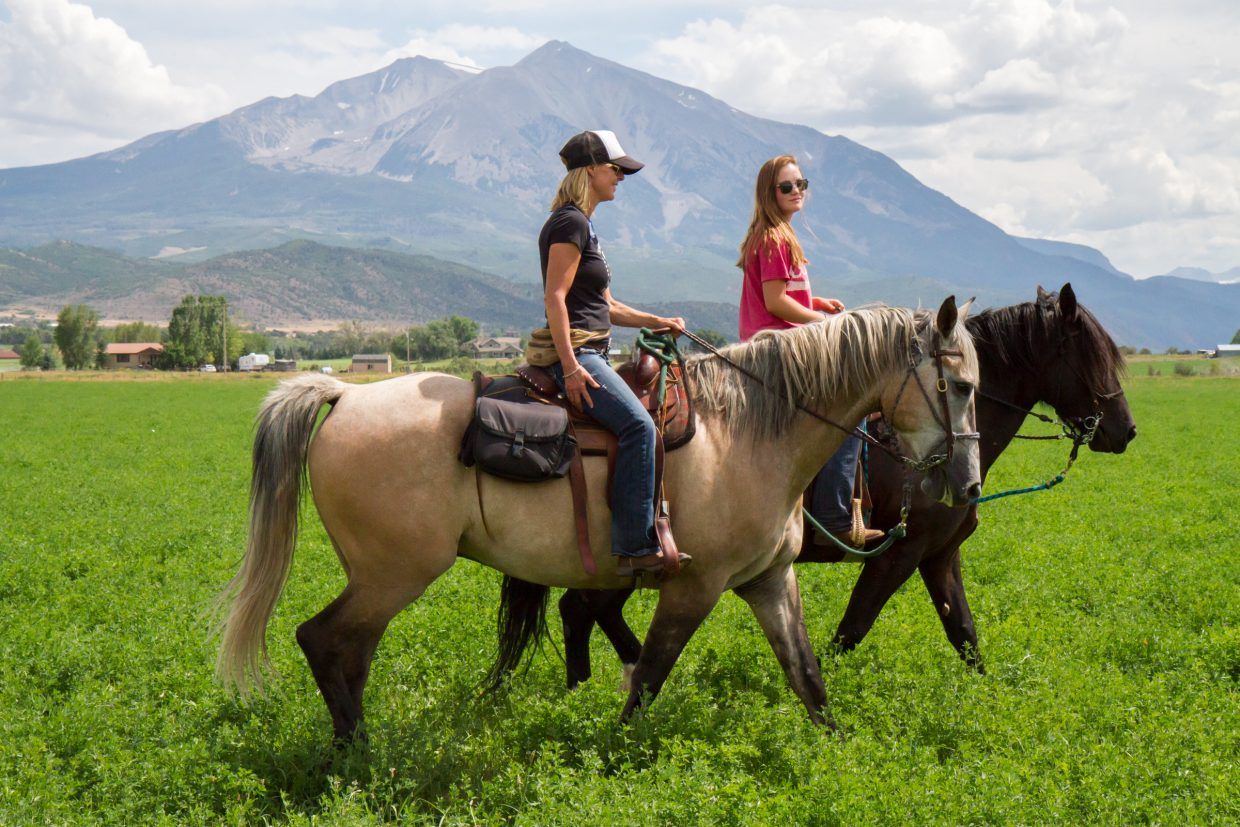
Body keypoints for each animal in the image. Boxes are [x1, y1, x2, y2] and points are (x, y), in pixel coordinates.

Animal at [214, 298, 981, 741]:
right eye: (960, 384)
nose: (968, 482)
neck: (748, 430)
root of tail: (345, 394)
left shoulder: (768, 580)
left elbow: (808, 676)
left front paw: (839, 751)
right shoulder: (694, 586)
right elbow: (649, 676)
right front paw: (612, 756)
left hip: (381, 579)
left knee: (350, 653)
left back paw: (355, 747)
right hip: (392, 575)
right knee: (322, 640)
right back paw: (357, 755)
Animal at [556, 284, 1135, 689]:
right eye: (1089, 355)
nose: (1125, 430)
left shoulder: (940, 555)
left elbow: (965, 635)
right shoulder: (897, 554)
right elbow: (851, 631)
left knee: (582, 610)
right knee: (582, 609)